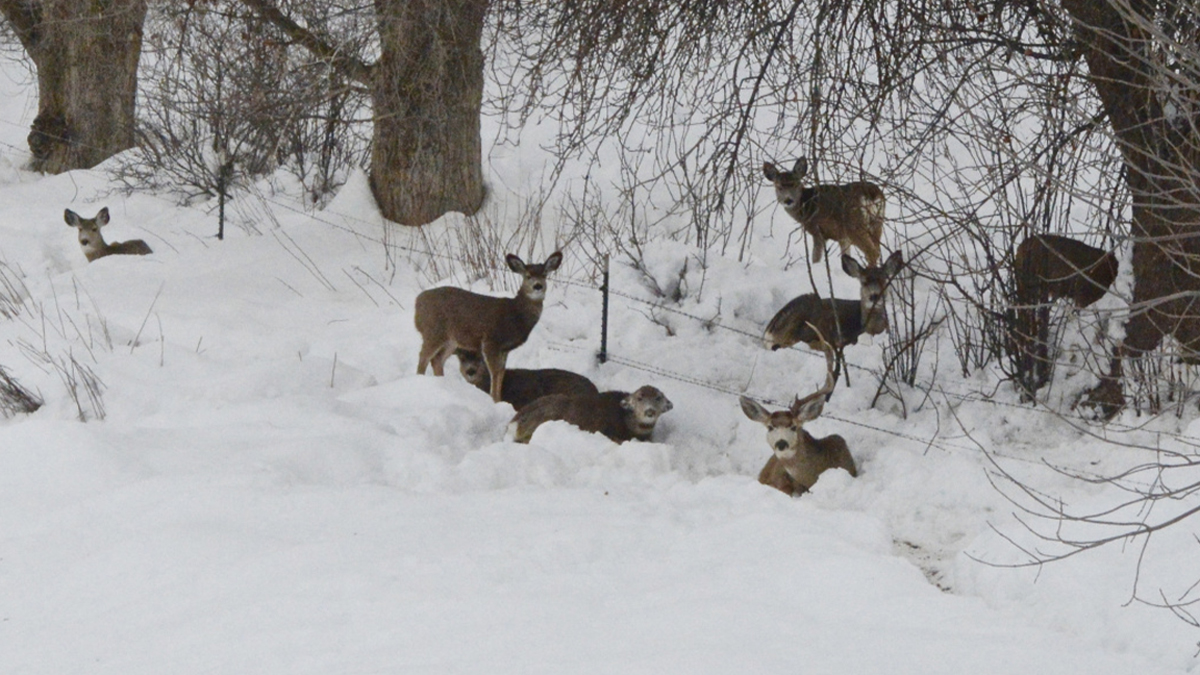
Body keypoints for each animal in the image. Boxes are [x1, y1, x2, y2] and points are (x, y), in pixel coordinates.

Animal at [414, 251, 562, 402]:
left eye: (544, 274)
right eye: (528, 276)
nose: (538, 286)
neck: (516, 314)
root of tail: (418, 301)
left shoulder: (504, 349)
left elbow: (501, 372)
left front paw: (498, 399)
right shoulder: (491, 340)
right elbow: (495, 372)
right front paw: (495, 400)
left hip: (451, 340)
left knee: (437, 360)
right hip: (433, 330)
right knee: (423, 357)